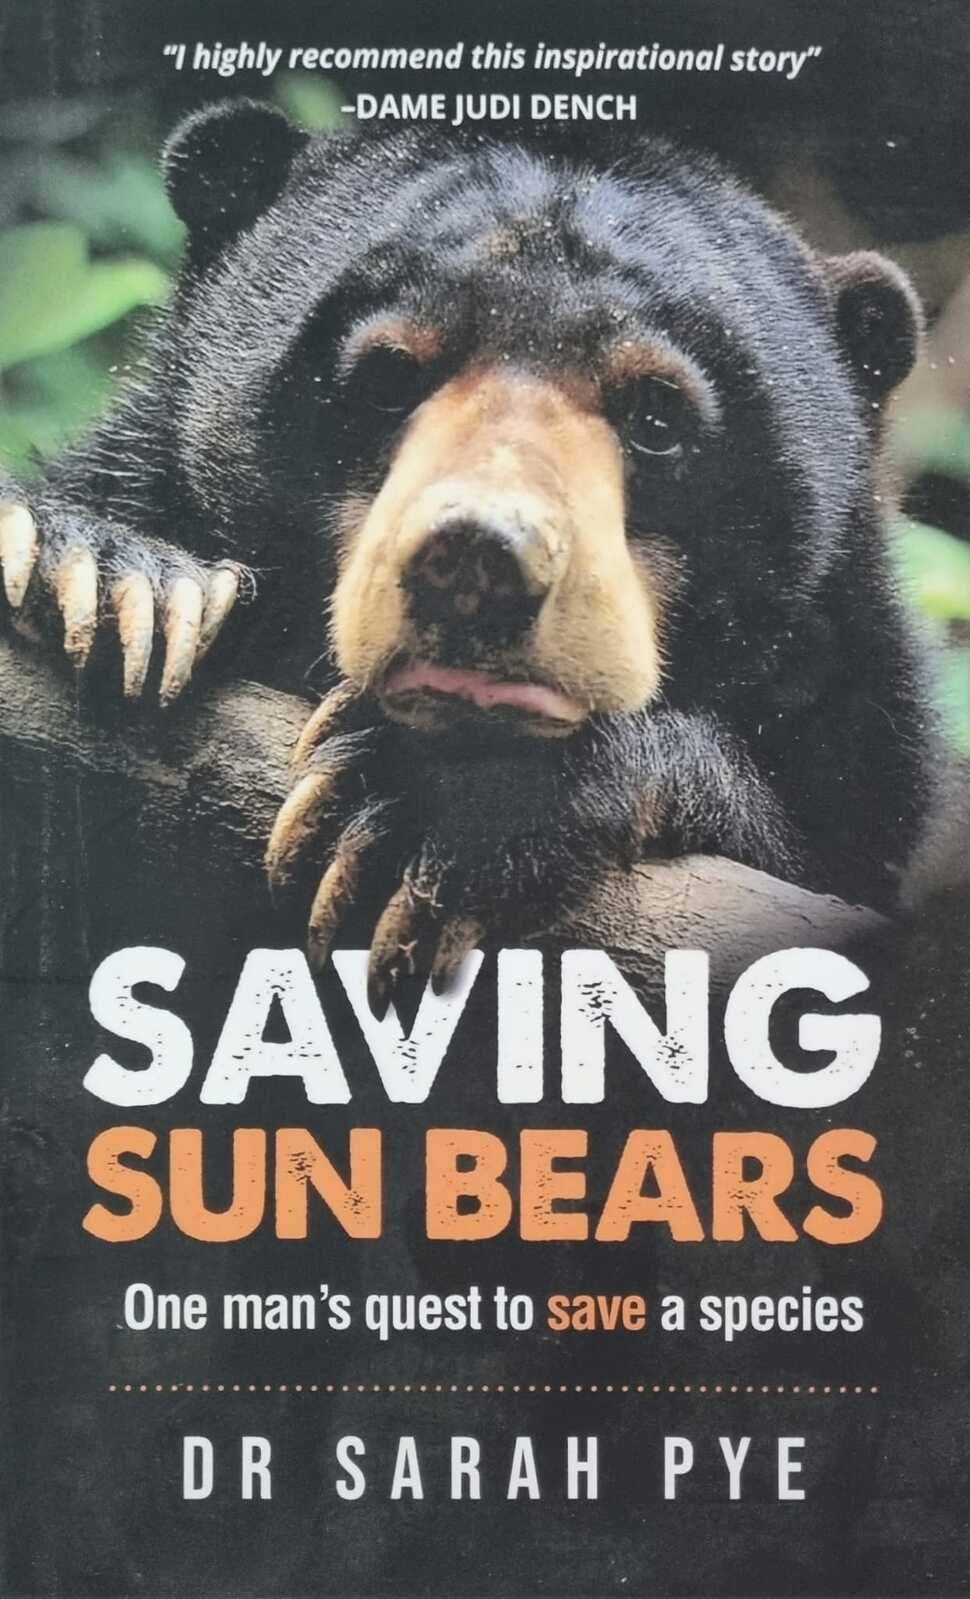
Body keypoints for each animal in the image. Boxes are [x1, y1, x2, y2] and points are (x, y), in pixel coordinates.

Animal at [0, 100, 939, 1012]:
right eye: (388, 377)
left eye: (657, 415)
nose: (478, 563)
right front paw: (123, 587)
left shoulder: (856, 725)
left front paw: (414, 810)